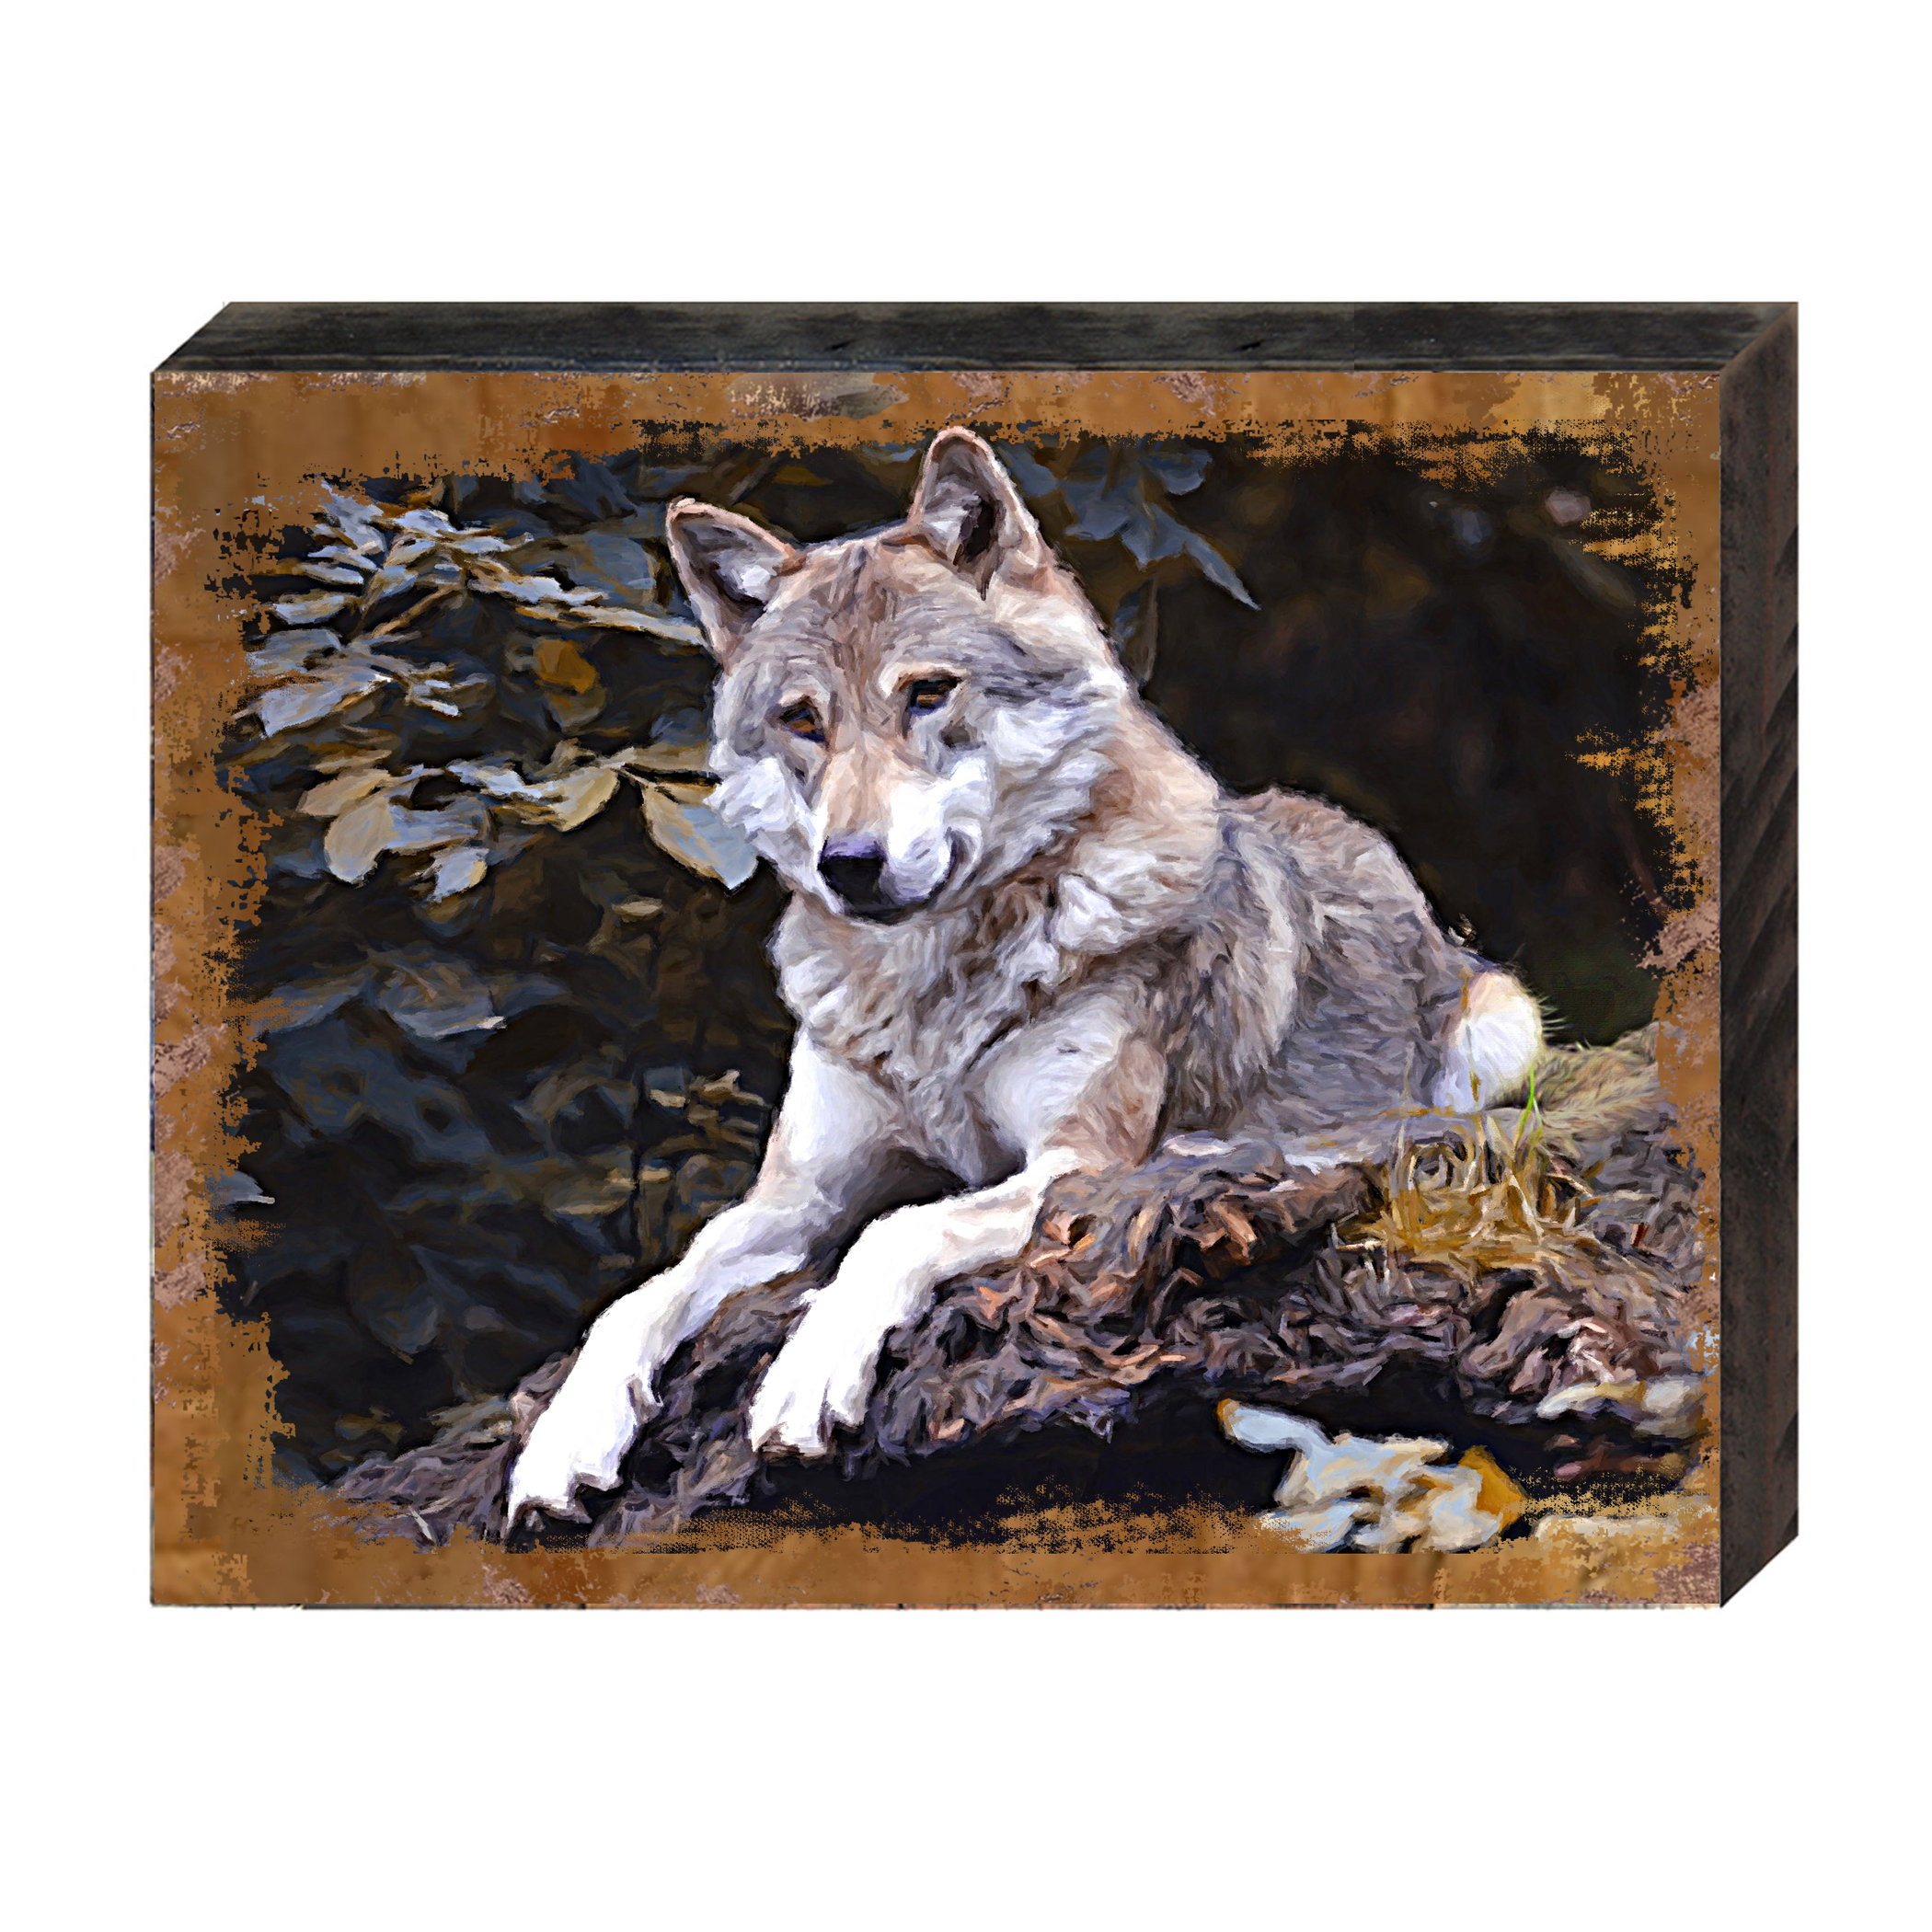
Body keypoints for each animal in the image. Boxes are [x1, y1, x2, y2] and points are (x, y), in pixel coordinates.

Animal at [504, 427, 1543, 1525]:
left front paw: (804, 1379)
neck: (931, 994)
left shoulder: (1072, 1165)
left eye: (927, 692)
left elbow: (898, 1229)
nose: (848, 863)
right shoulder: (797, 1199)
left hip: (1498, 1032)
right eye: (803, 720)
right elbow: (643, 1293)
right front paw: (562, 1442)